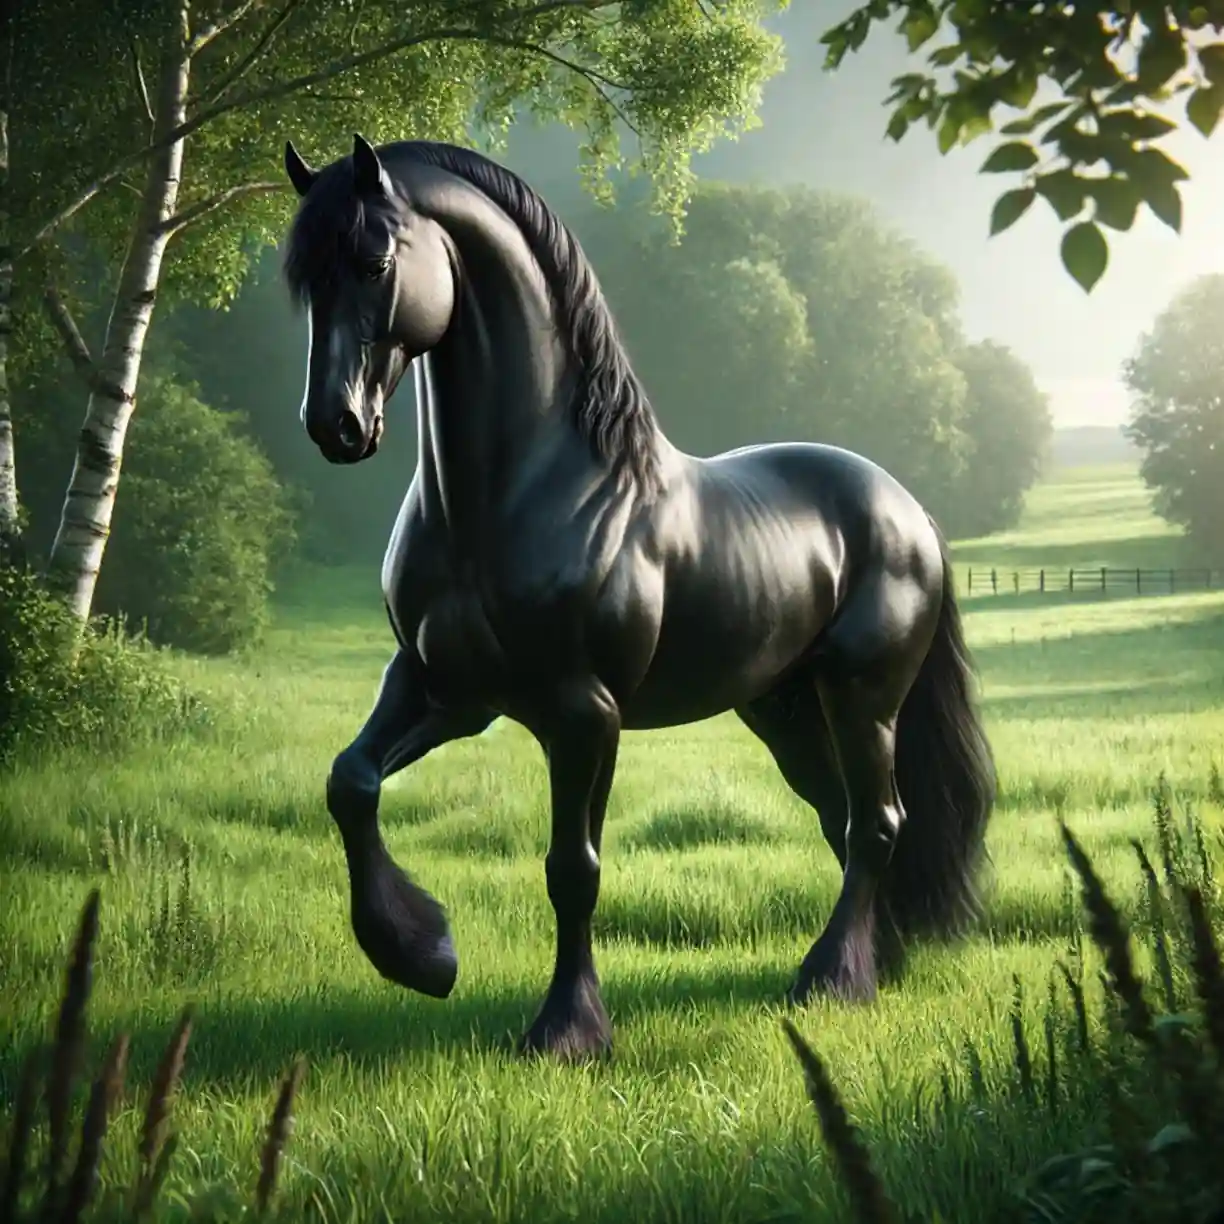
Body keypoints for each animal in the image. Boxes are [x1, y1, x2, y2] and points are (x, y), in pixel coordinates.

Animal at [279, 133, 997, 1061]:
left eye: (374, 261)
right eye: (305, 279)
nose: (335, 425)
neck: (518, 494)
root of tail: (906, 508)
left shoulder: (582, 713)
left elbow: (572, 869)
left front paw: (567, 1030)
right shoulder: (443, 689)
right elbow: (351, 781)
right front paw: (421, 952)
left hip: (861, 699)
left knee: (876, 823)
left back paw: (832, 981)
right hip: (787, 713)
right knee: (846, 822)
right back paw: (877, 963)